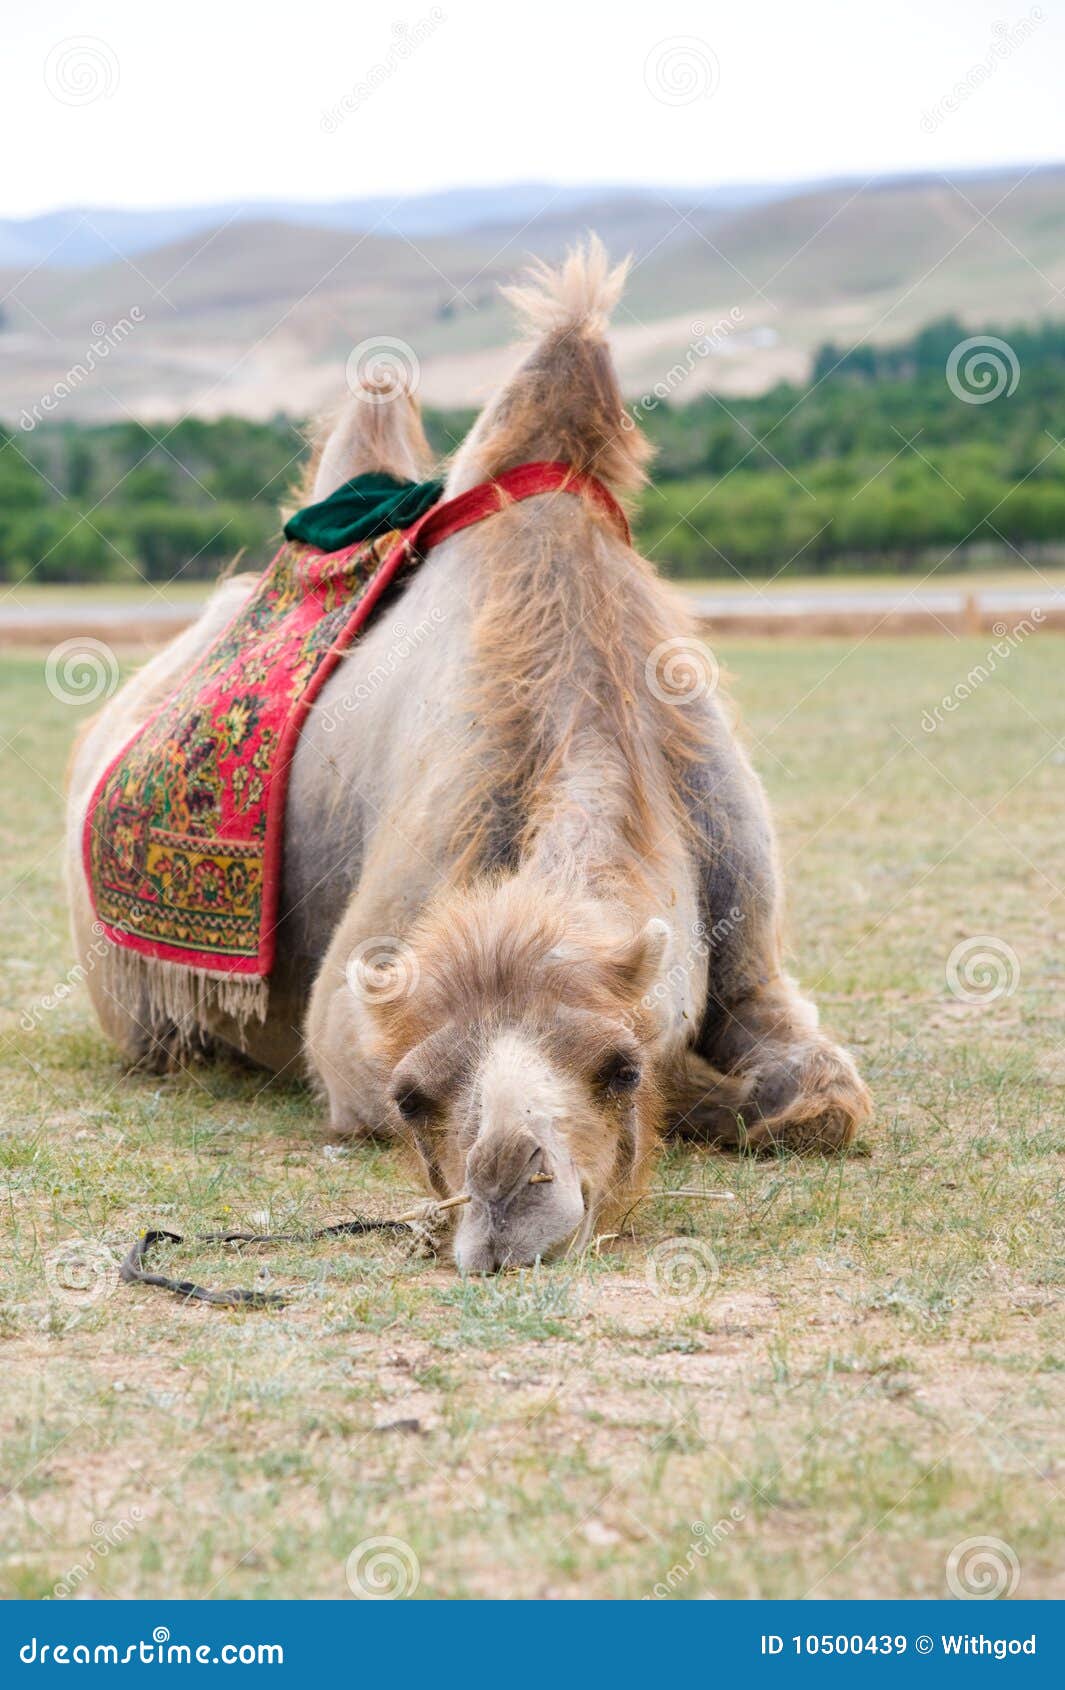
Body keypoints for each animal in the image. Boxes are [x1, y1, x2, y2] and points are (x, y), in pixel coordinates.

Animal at [66, 240, 872, 1272]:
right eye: (411, 1097)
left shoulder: (754, 960)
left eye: (618, 1067)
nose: (510, 1205)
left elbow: (820, 1100)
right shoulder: (352, 1016)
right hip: (132, 998)